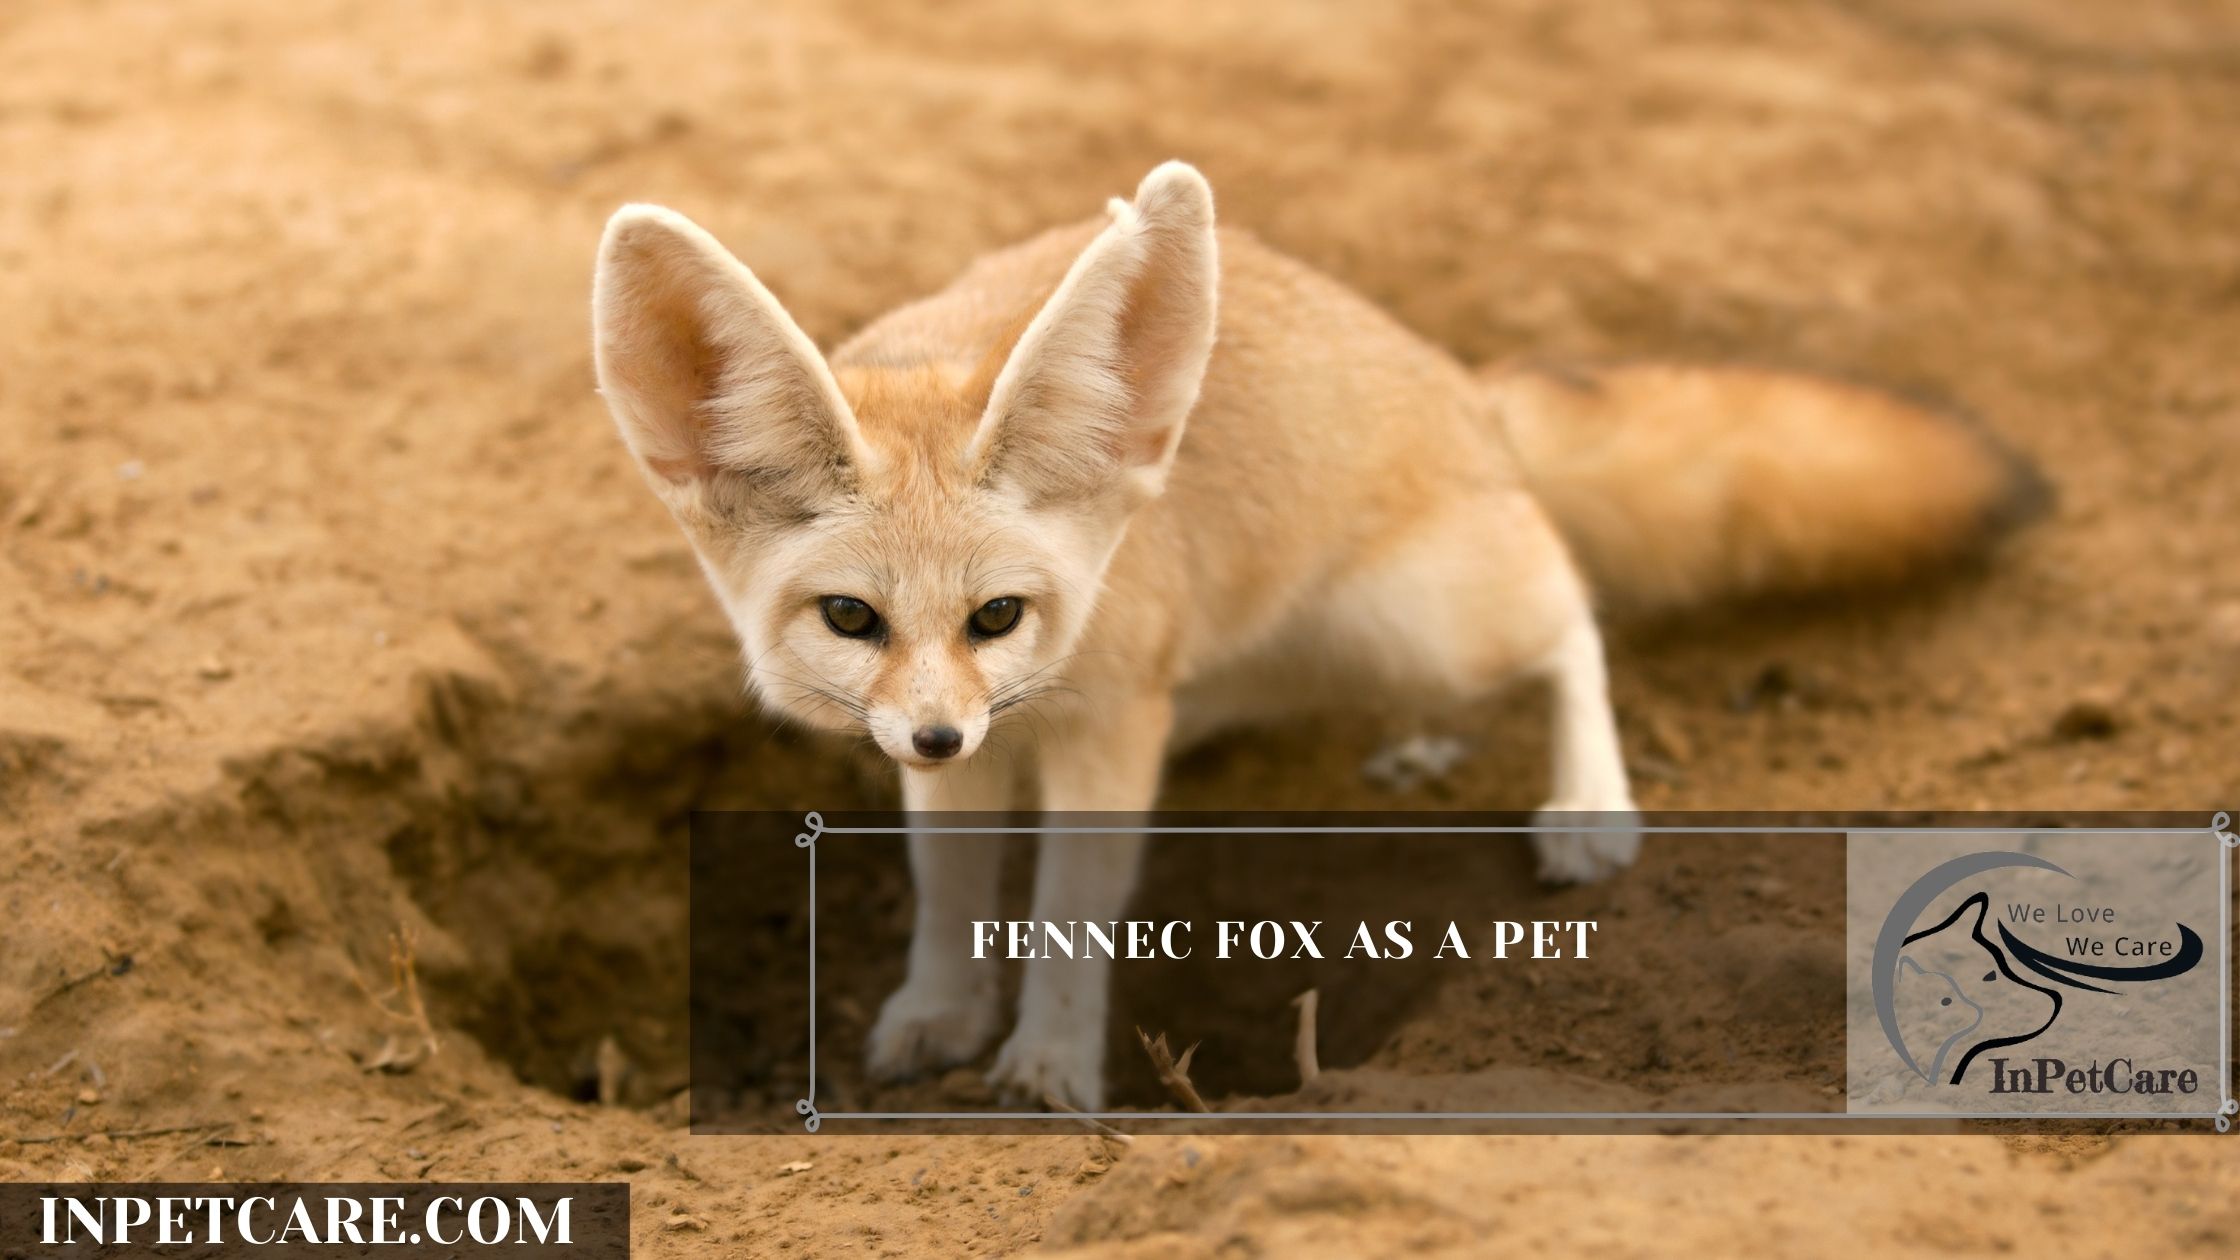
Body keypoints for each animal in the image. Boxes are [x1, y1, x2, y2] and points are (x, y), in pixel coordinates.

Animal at [590, 162, 2041, 1109]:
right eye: (852, 618)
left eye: (997, 614)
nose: (941, 734)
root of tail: (1463, 387)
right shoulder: (976, 751)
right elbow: (953, 888)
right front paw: (942, 1011)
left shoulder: (1109, 725)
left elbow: (1068, 906)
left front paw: (1049, 1063)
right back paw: (1421, 749)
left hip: (1422, 618)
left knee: (1569, 607)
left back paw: (1584, 805)